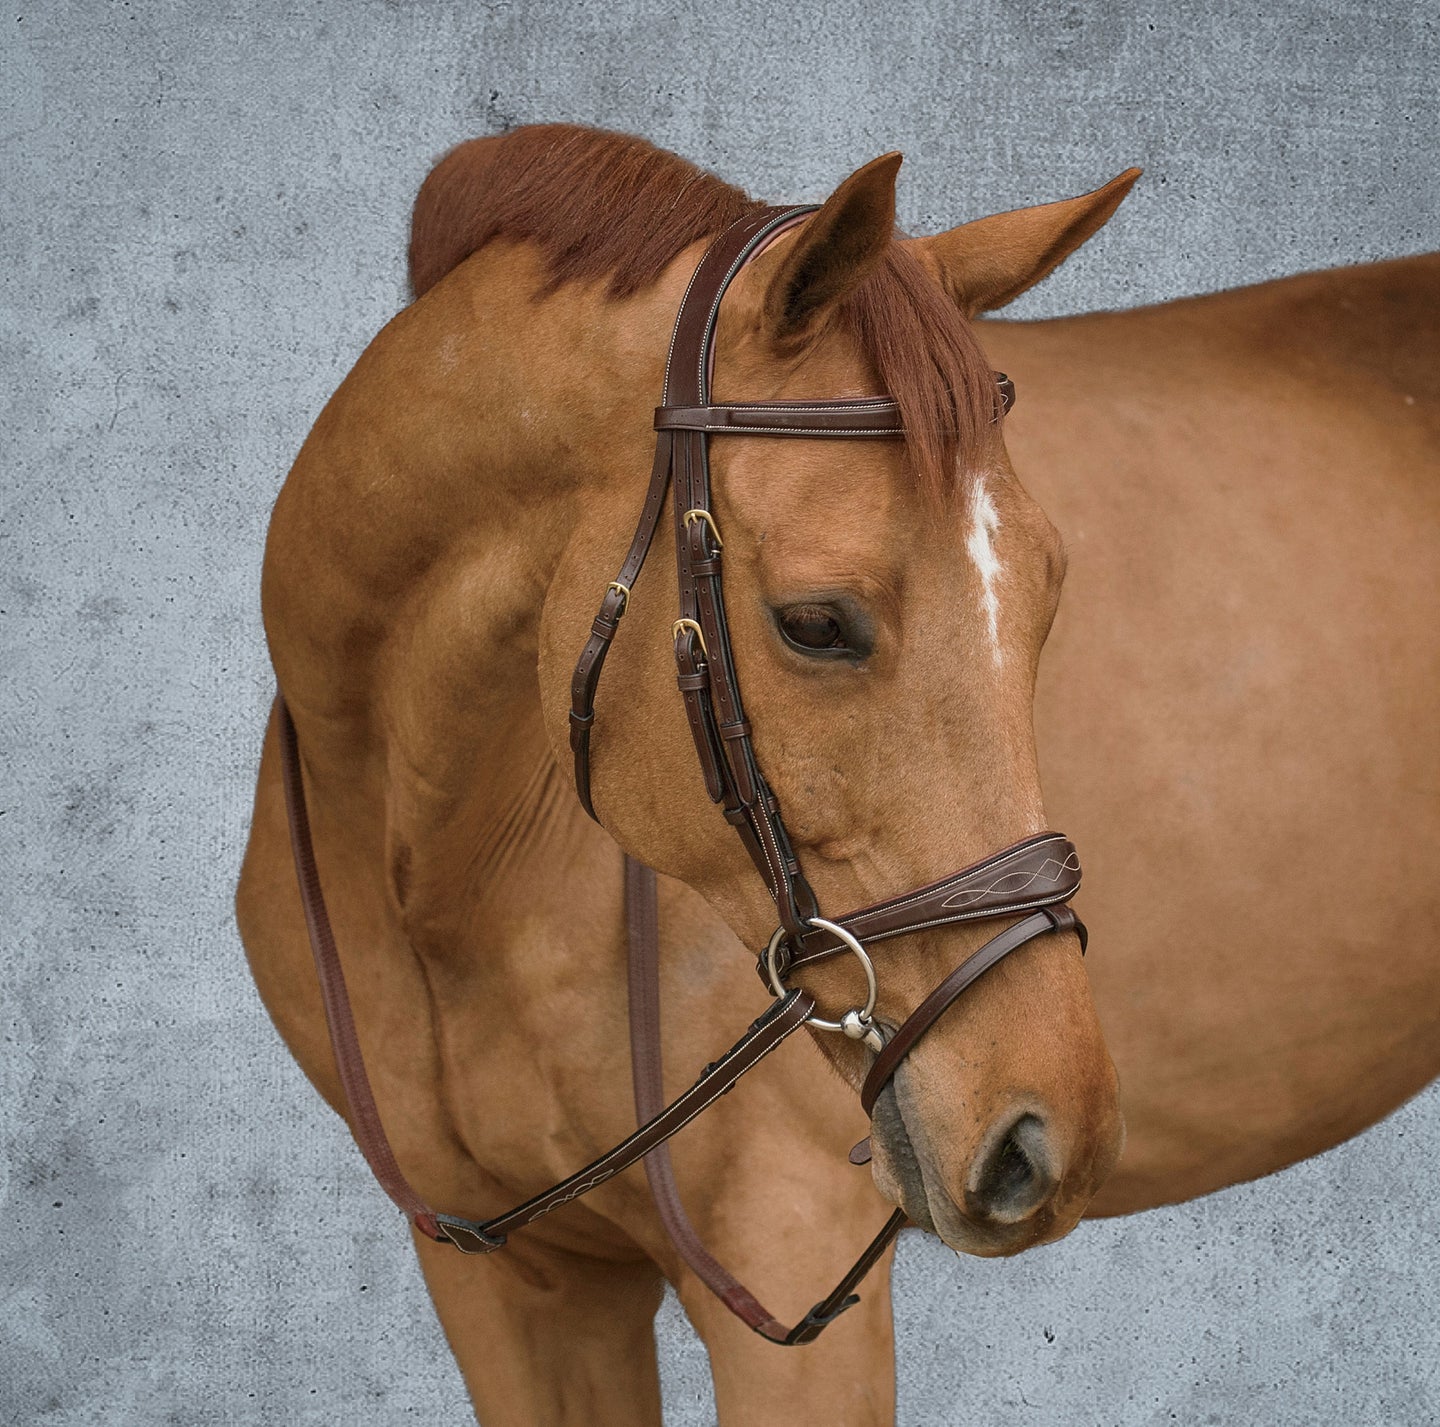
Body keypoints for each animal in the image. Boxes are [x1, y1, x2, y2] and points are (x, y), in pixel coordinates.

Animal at [235, 123, 1439, 1424]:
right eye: (815, 623)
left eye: (1051, 589)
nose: (1045, 1135)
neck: (450, 876)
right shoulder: (509, 1276)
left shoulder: (786, 1261)